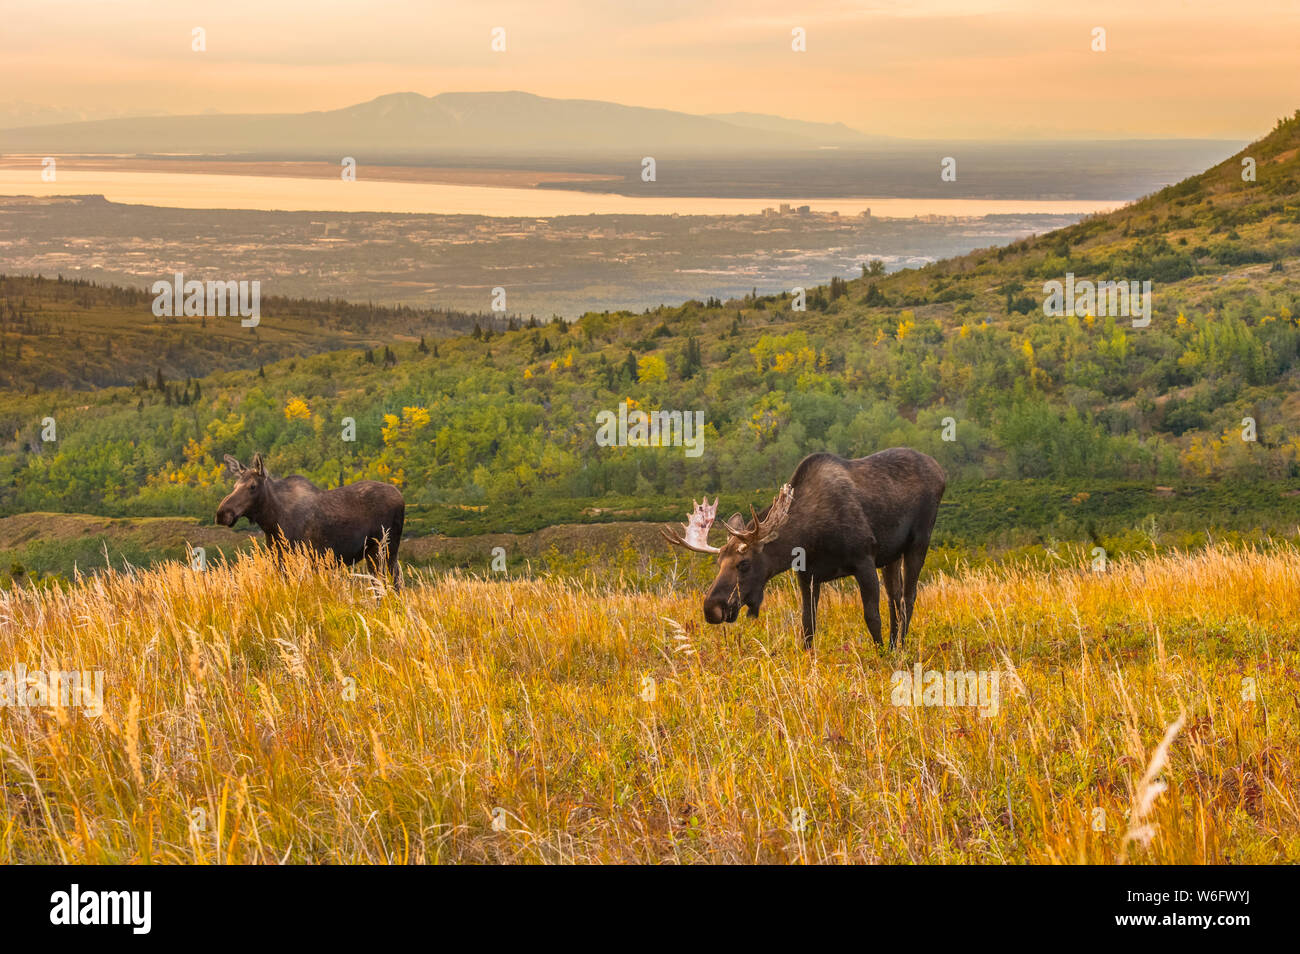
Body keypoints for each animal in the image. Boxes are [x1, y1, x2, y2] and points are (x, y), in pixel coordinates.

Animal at [216, 453, 405, 587]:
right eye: (234, 486)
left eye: (252, 486)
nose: (222, 513)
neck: (272, 523)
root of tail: (400, 496)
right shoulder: (280, 561)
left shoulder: (307, 559)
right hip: (373, 552)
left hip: (387, 548)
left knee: (394, 582)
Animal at [662, 448, 946, 649]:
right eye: (718, 562)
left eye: (744, 563)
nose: (711, 608)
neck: (810, 536)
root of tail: (941, 471)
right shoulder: (807, 575)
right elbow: (808, 625)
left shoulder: (864, 559)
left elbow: (871, 617)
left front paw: (881, 656)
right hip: (891, 556)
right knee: (895, 598)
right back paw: (895, 644)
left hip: (919, 542)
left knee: (908, 597)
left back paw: (900, 648)